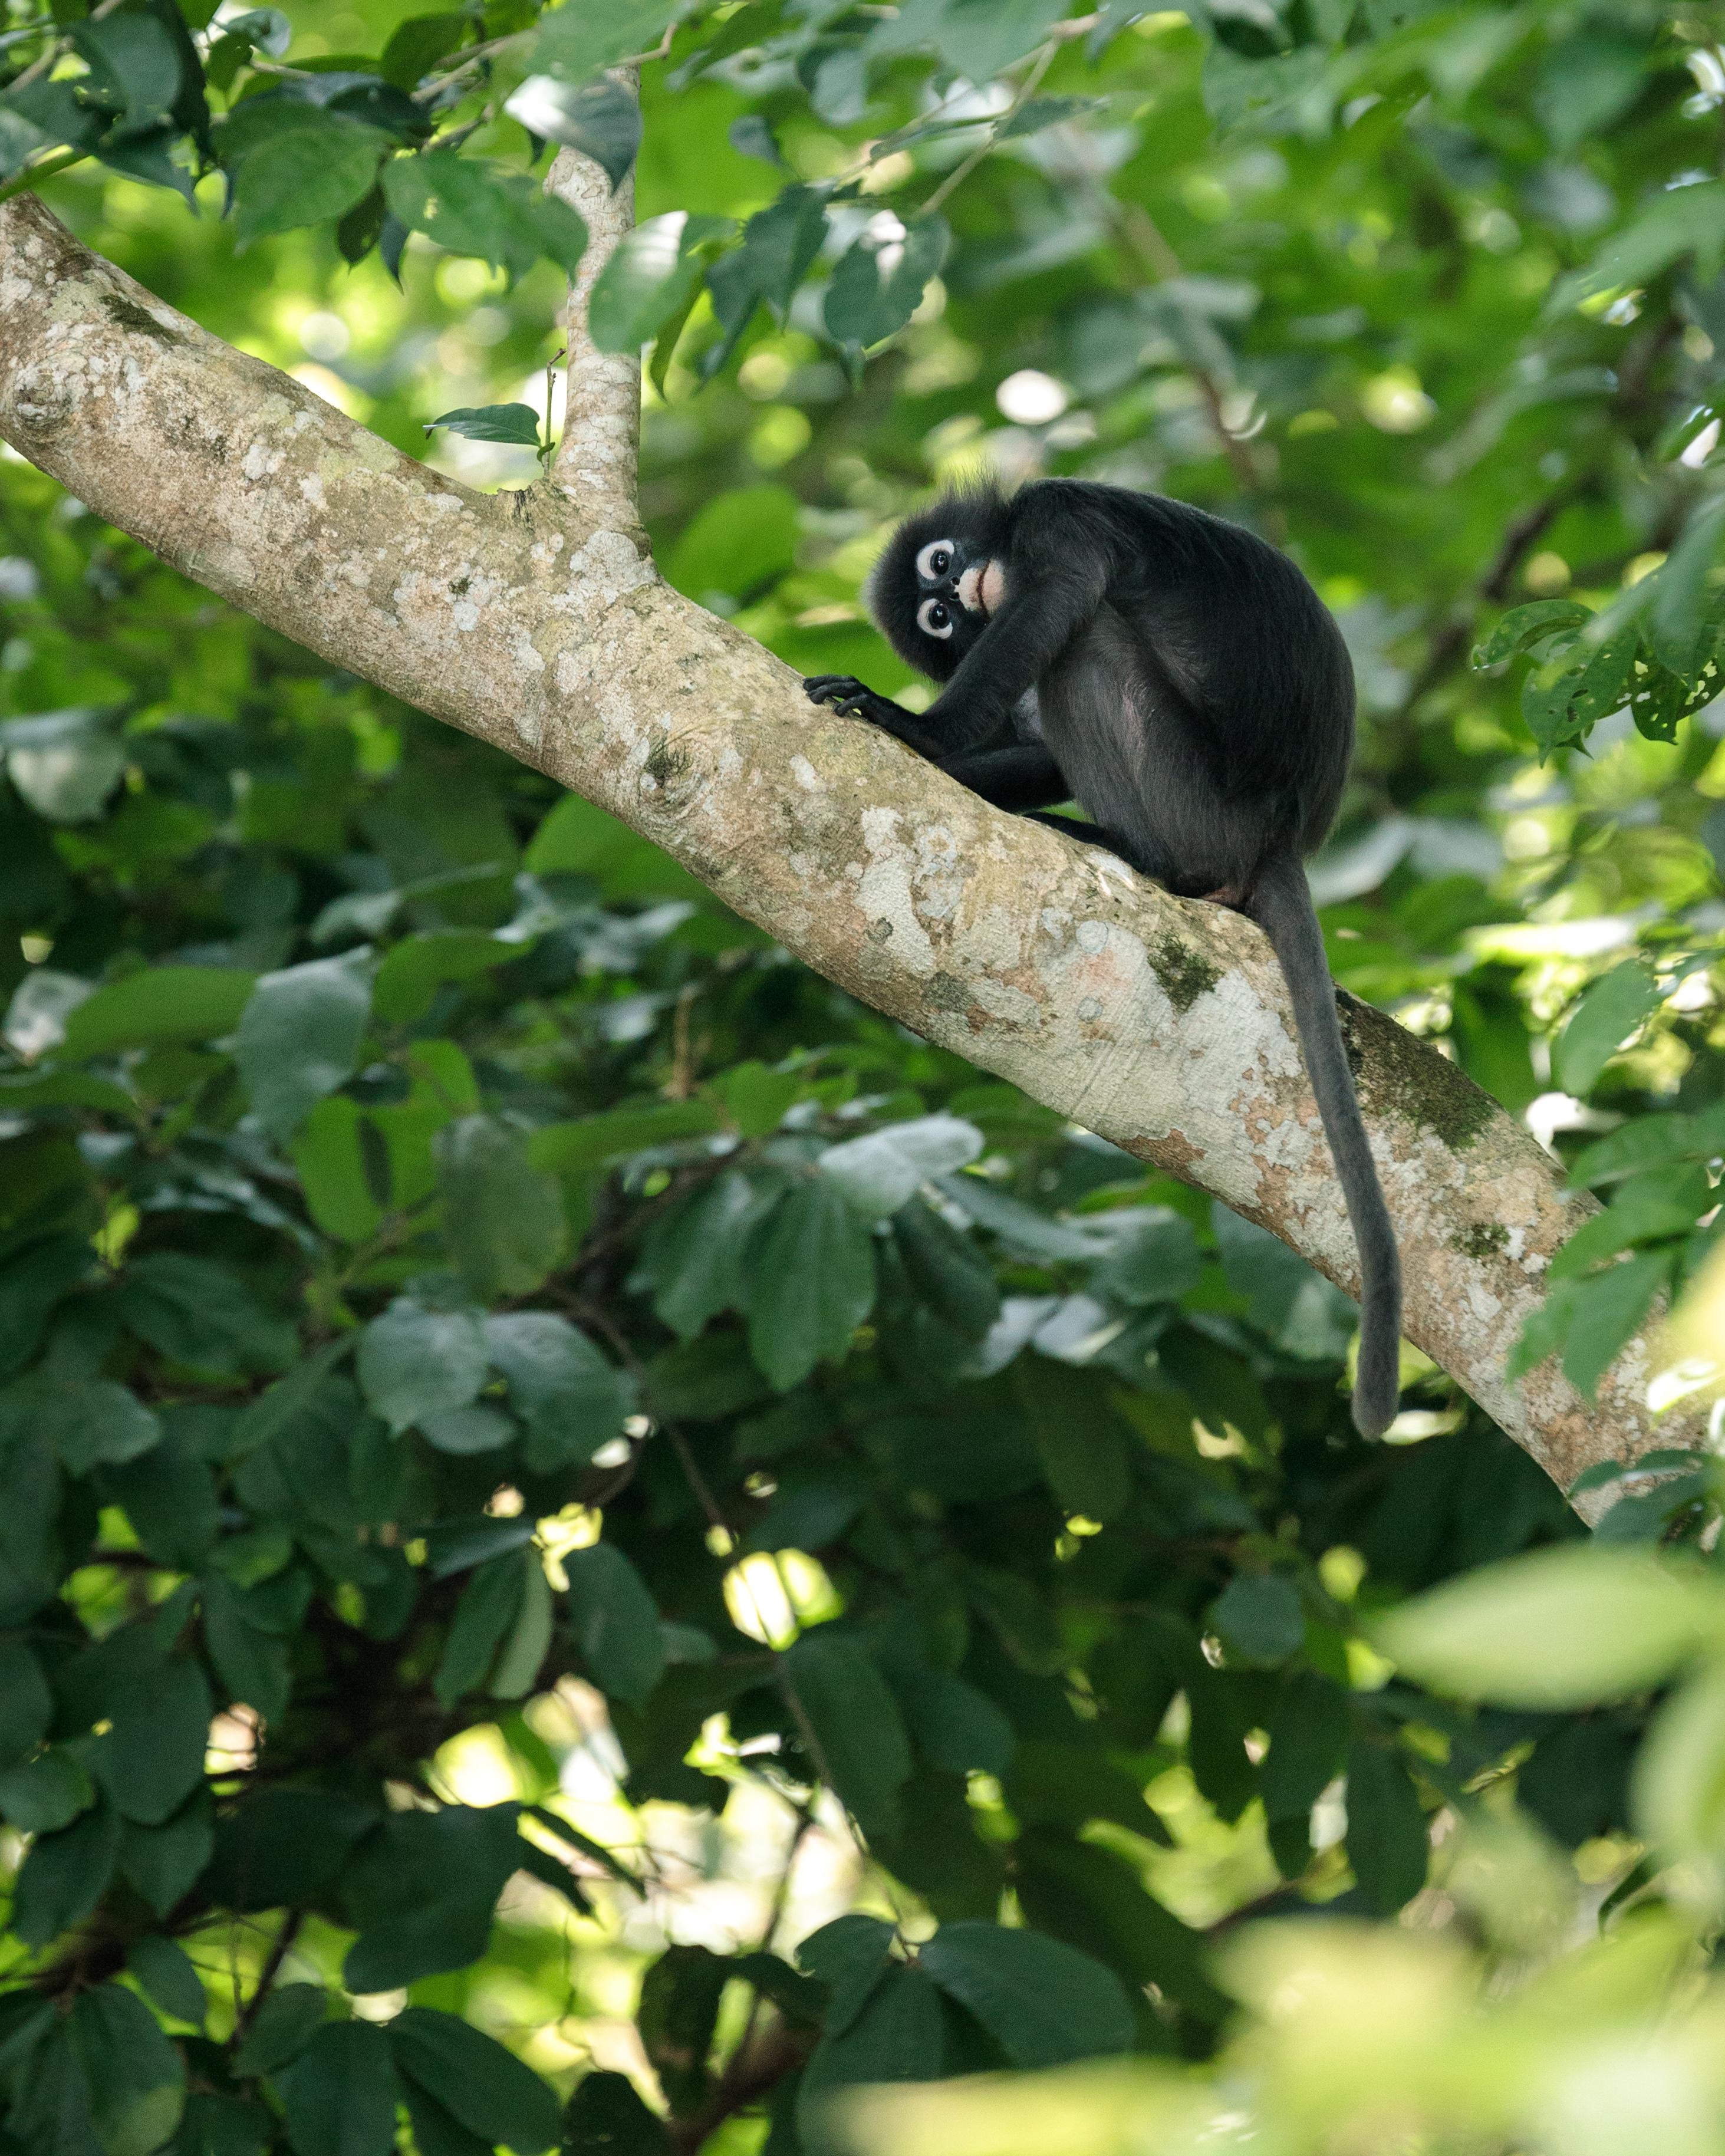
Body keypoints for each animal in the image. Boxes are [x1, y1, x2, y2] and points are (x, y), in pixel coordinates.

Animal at [803, 479, 1401, 1439]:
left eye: (939, 568)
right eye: (936, 617)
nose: (958, 592)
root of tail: (1275, 839)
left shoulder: (1060, 523)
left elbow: (1054, 605)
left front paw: (914, 731)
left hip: (1191, 799)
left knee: (1085, 643)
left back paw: (1140, 857)